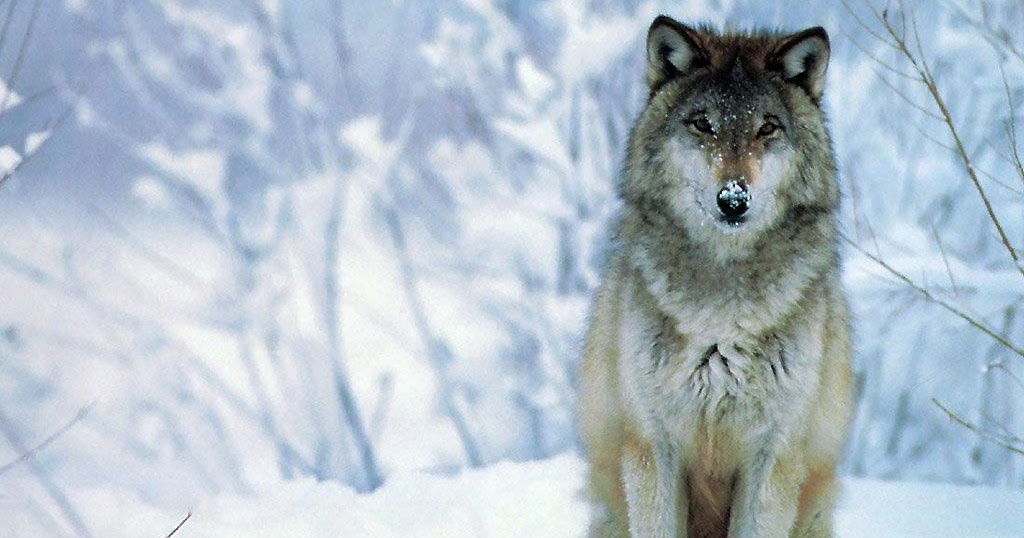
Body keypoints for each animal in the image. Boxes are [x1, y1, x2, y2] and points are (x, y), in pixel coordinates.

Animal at [577, 15, 852, 538]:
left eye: (767, 128)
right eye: (704, 124)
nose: (734, 199)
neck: (721, 317)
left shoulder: (773, 457)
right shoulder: (651, 447)